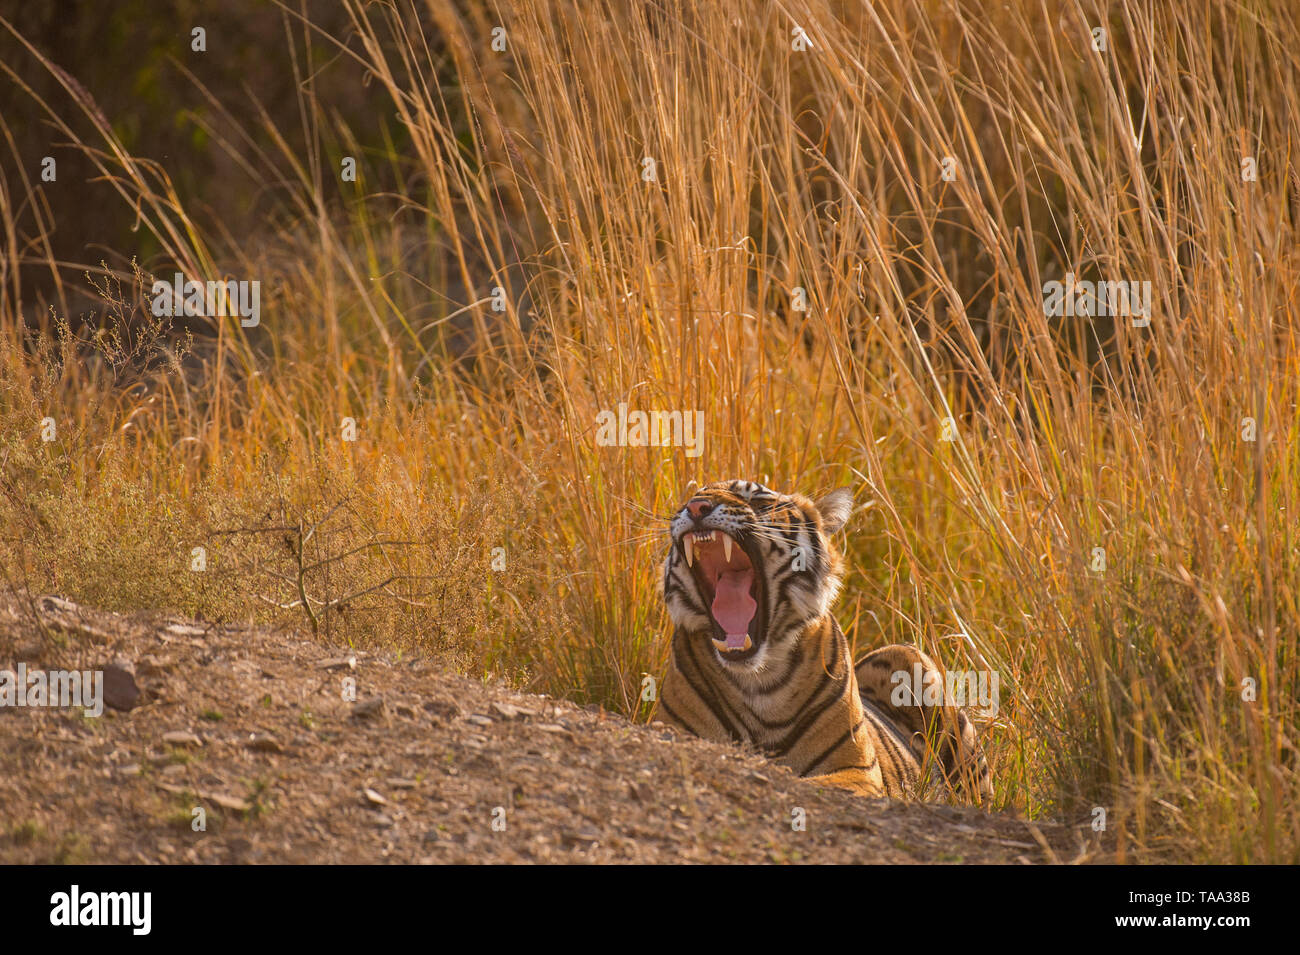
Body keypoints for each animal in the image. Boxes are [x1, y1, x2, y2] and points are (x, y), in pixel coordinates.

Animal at [656, 479, 992, 801]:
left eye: (758, 500)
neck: (758, 679)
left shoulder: (857, 767)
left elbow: (820, 783)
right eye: (688, 501)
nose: (696, 508)